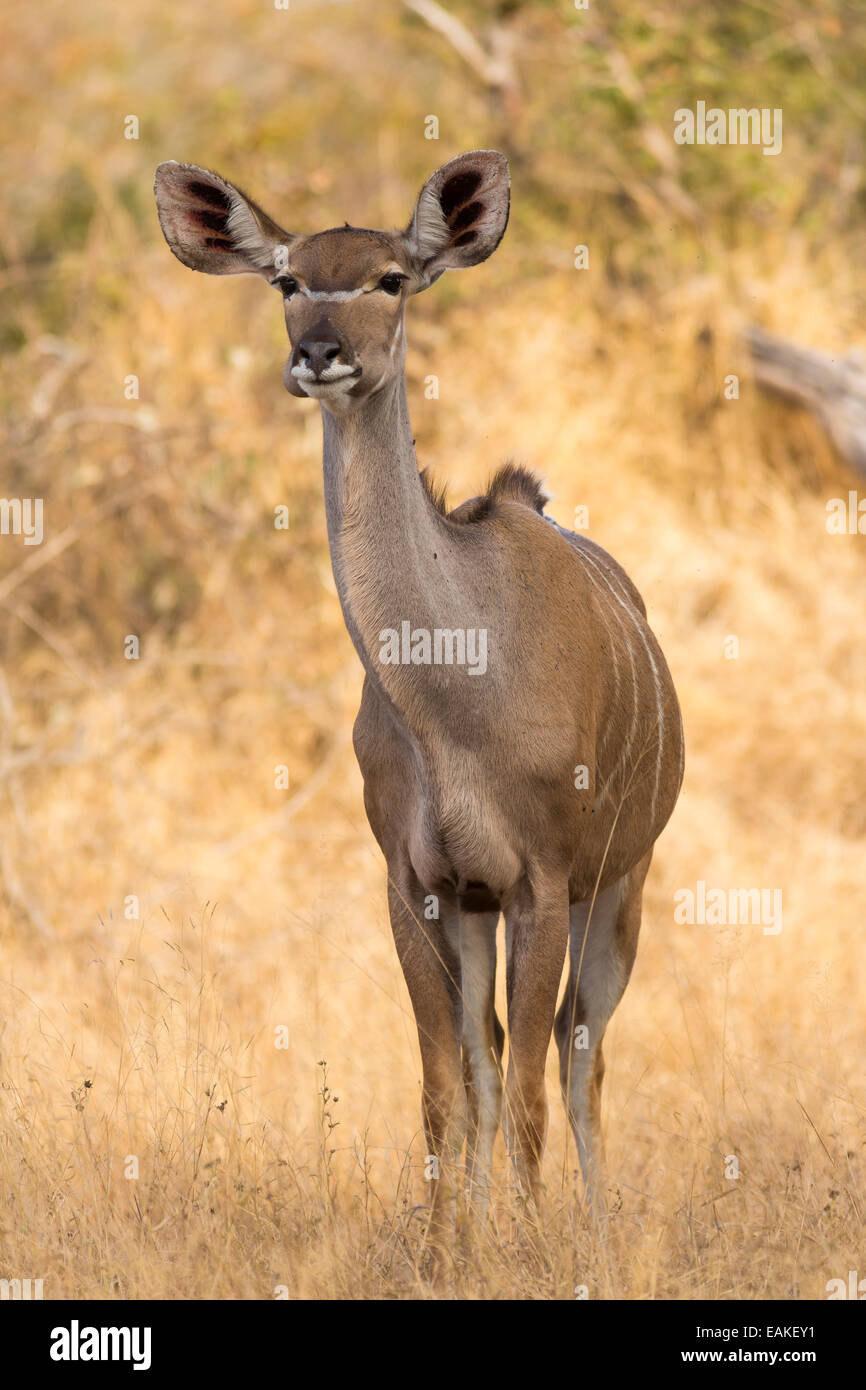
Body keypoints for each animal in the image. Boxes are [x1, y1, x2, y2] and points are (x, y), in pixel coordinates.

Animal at [154, 150, 684, 1241]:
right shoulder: (419, 882)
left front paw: (535, 1251)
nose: (317, 353)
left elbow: (527, 1089)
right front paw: (450, 1253)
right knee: (495, 1055)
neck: (454, 697)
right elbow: (448, 1087)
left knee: (579, 1051)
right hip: (487, 911)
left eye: (390, 279)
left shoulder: (542, 879)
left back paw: (600, 1235)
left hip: (624, 880)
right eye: (287, 279)